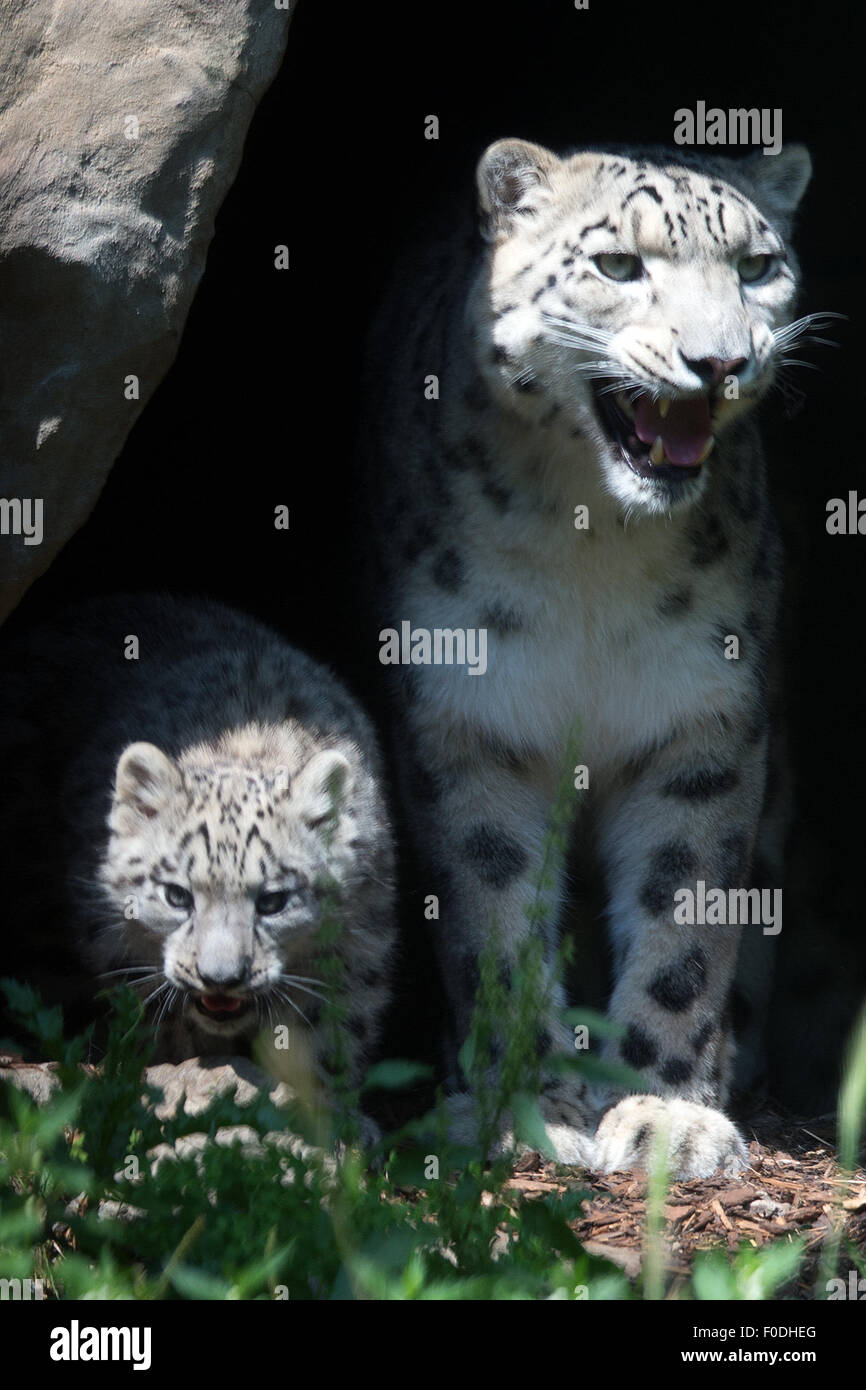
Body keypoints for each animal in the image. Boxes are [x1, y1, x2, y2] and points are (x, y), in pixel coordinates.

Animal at [358, 136, 817, 1178]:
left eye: (756, 267)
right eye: (617, 264)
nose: (719, 360)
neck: (594, 545)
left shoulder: (701, 723)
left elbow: (685, 924)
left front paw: (663, 1113)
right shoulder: (471, 719)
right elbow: (494, 915)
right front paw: (523, 1103)